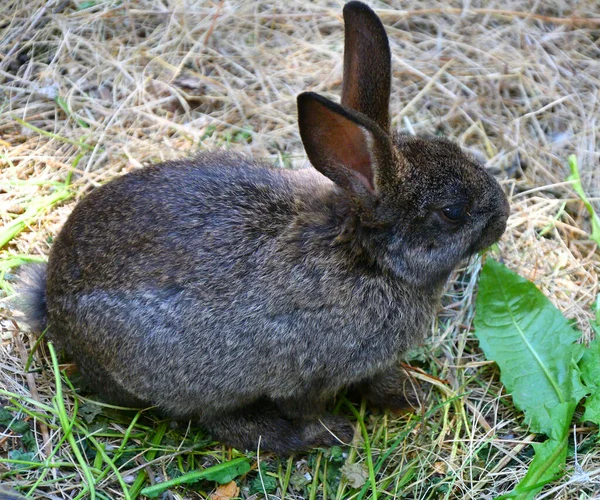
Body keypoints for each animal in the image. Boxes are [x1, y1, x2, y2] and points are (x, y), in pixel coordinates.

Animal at [15, 0, 506, 456]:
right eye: (453, 212)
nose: (502, 216)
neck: (368, 257)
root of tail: (52, 303)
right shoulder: (309, 374)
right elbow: (306, 405)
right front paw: (335, 427)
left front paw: (407, 394)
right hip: (187, 374)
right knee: (217, 420)